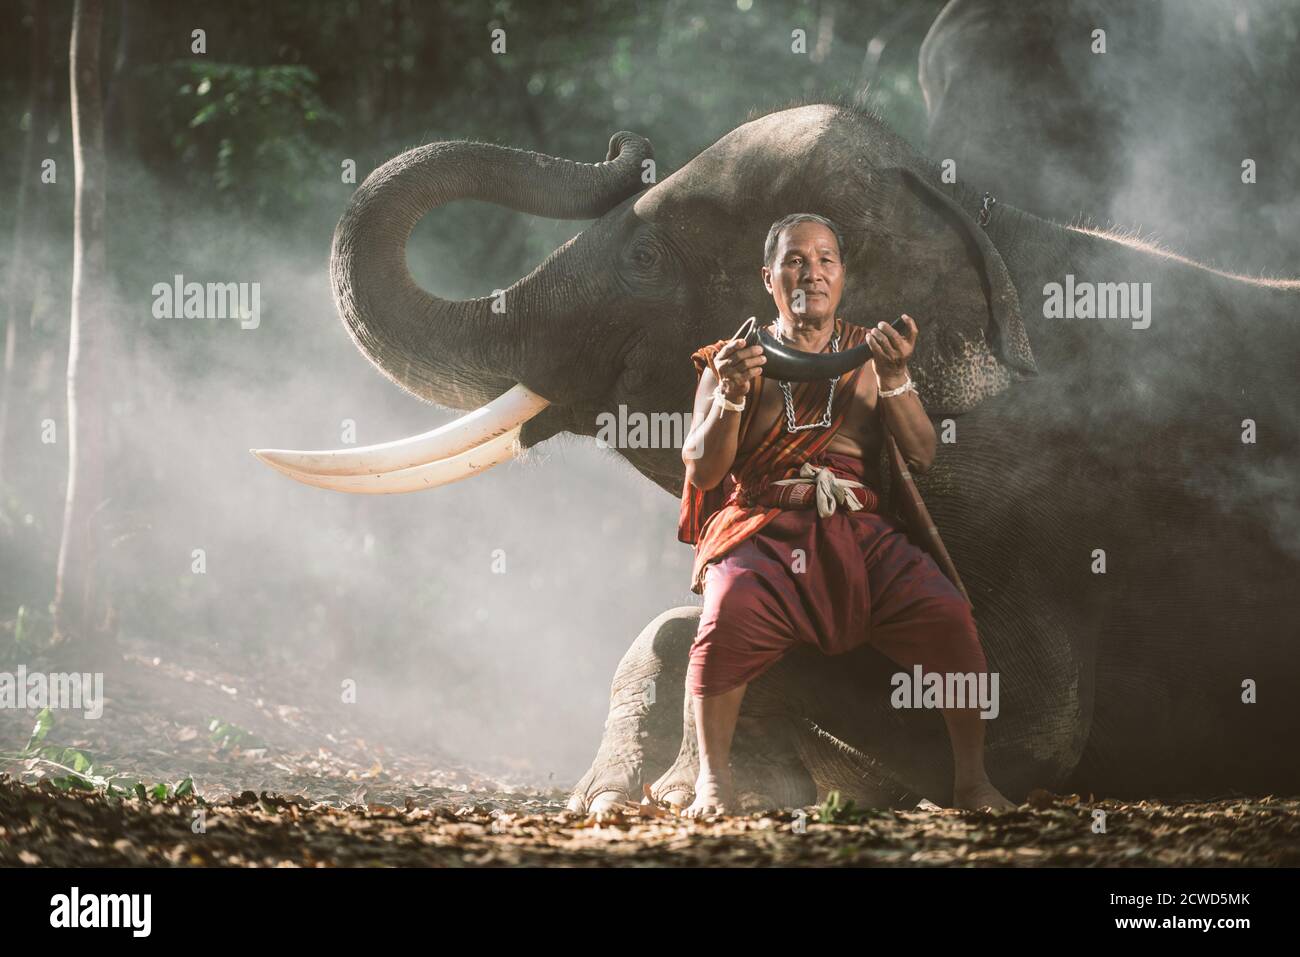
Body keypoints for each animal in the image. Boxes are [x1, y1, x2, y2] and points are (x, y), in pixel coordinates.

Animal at [254, 97, 1300, 814]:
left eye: (644, 262)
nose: (622, 144)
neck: (974, 213)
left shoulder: (1025, 511)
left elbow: (1015, 712)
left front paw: (696, 786)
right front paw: (613, 793)